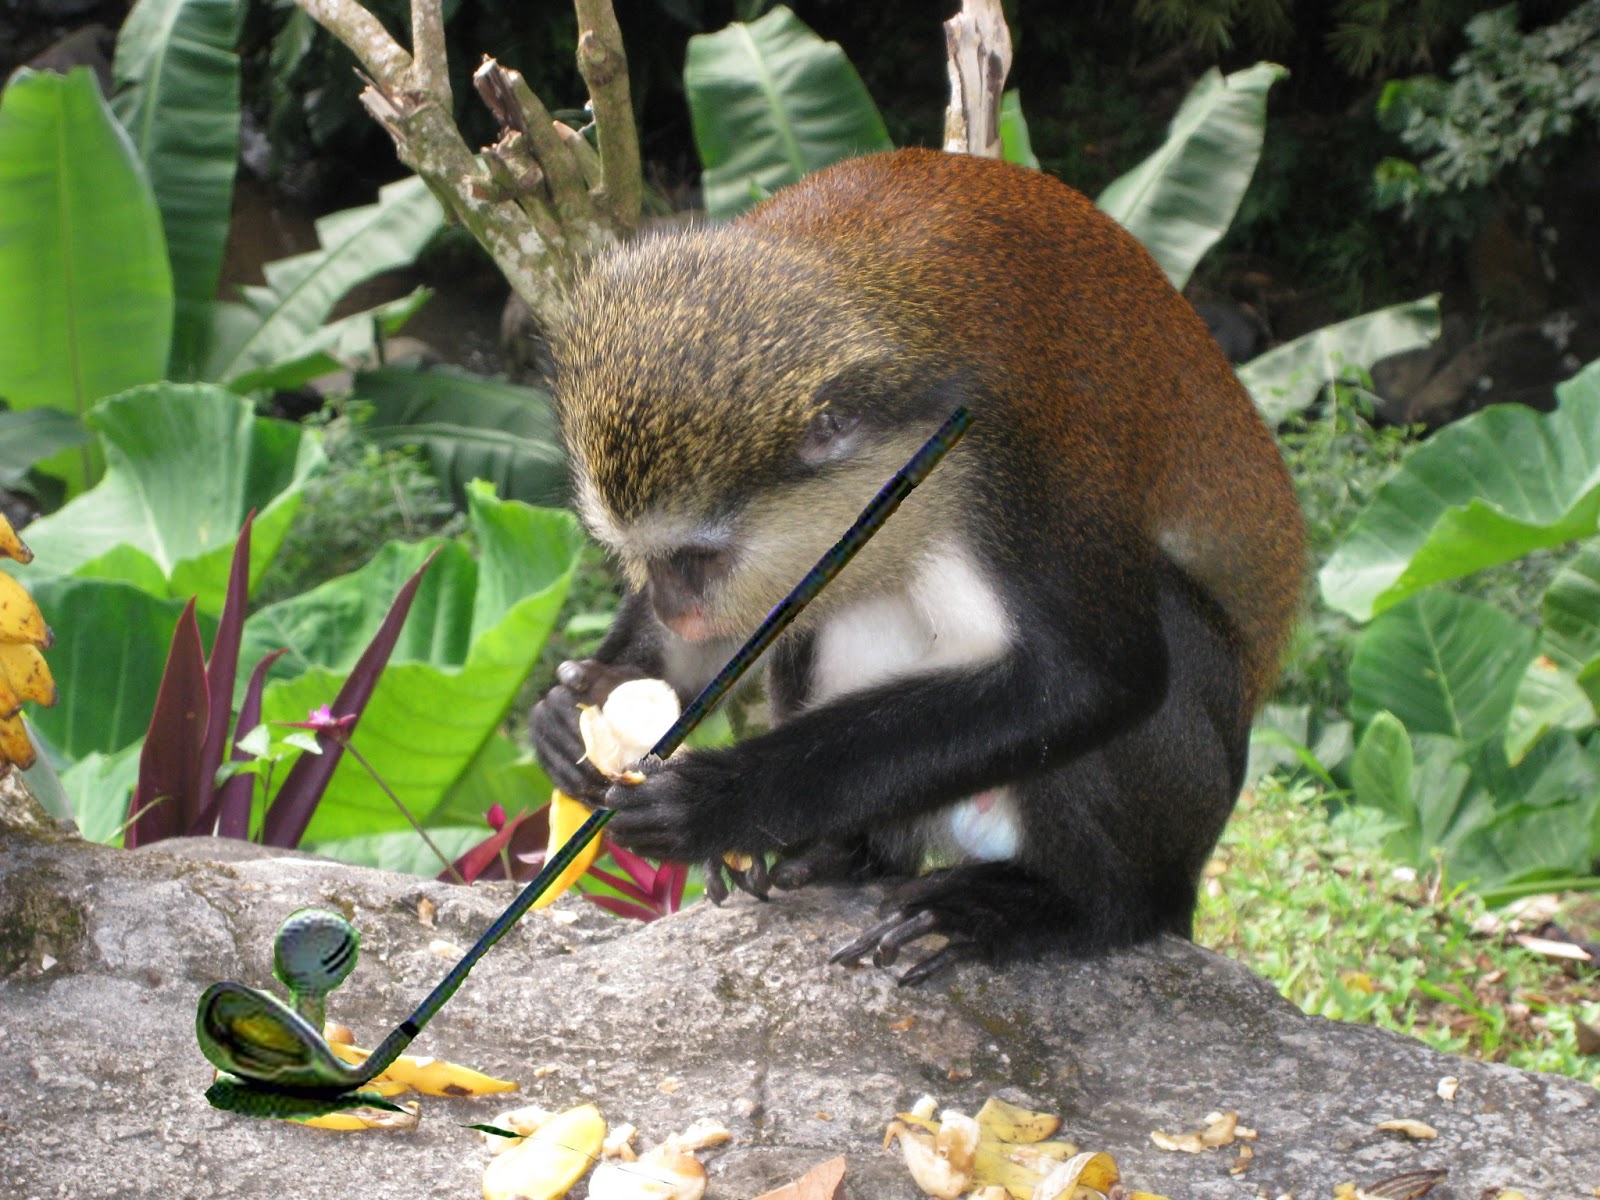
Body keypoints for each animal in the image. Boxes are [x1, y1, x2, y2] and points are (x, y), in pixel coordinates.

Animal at [530, 147, 1305, 984]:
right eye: (645, 560)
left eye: (698, 560)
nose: (674, 606)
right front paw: (577, 704)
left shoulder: (1020, 461)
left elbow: (1092, 678)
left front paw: (725, 799)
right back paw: (849, 854)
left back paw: (1073, 908)